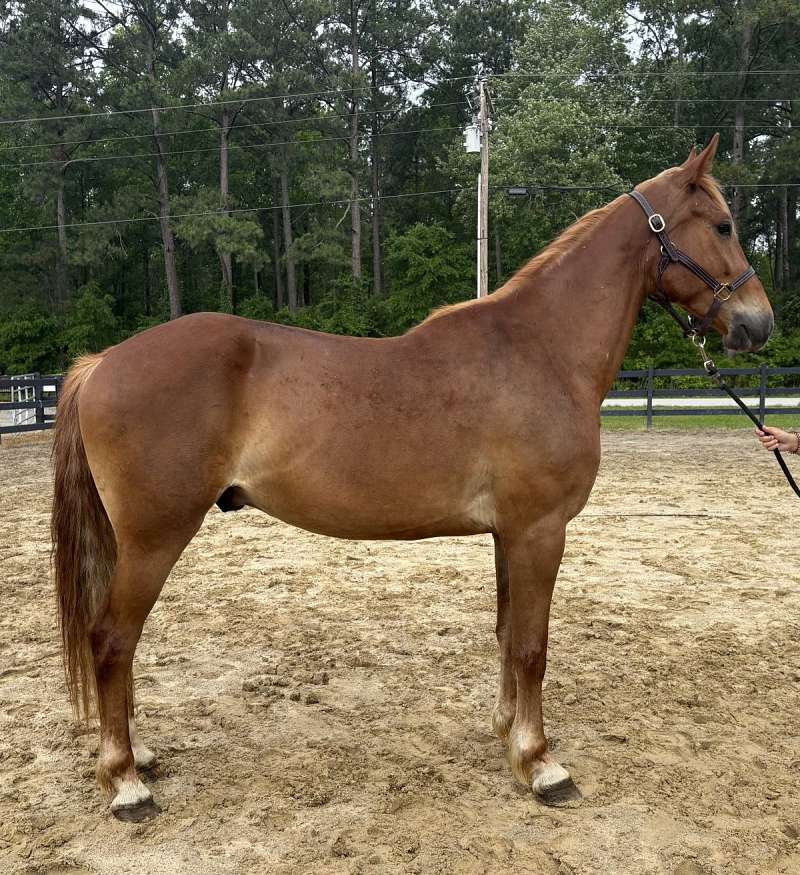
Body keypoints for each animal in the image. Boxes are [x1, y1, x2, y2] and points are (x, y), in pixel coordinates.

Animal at [51, 134, 774, 821]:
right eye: (723, 224)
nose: (758, 323)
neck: (541, 350)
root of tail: (103, 361)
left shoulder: (509, 534)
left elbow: (507, 635)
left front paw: (508, 734)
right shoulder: (540, 531)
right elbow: (533, 645)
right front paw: (541, 763)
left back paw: (138, 754)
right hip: (154, 537)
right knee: (112, 639)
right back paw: (126, 781)